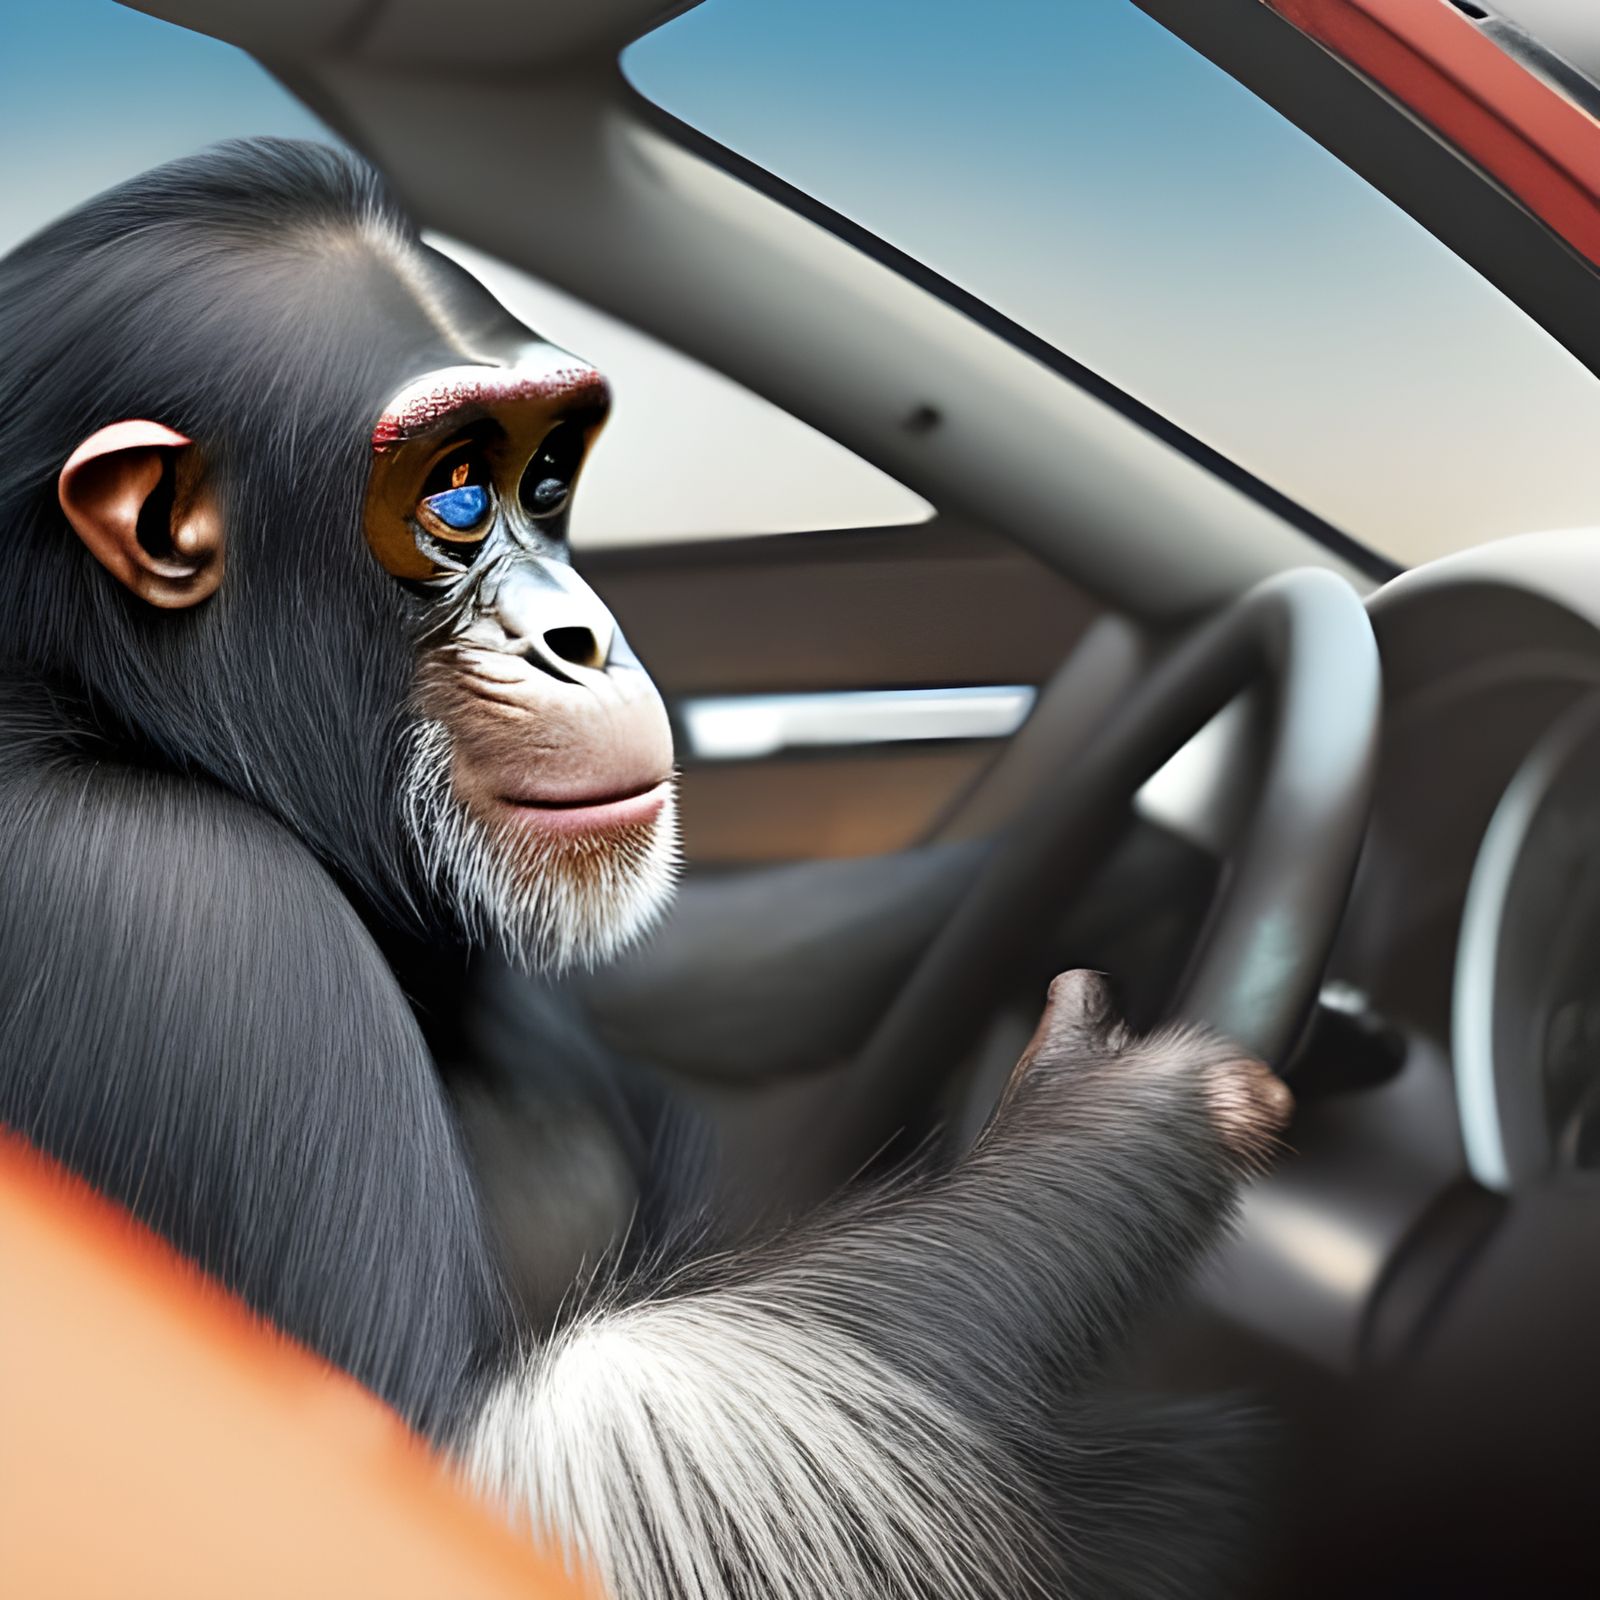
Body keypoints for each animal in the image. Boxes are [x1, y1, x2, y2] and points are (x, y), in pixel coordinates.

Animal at [0, 139, 1291, 1598]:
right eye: (456, 490)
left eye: (548, 475)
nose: (581, 634)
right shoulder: (175, 909)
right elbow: (452, 1473)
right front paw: (1125, 1117)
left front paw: (1139, 873)